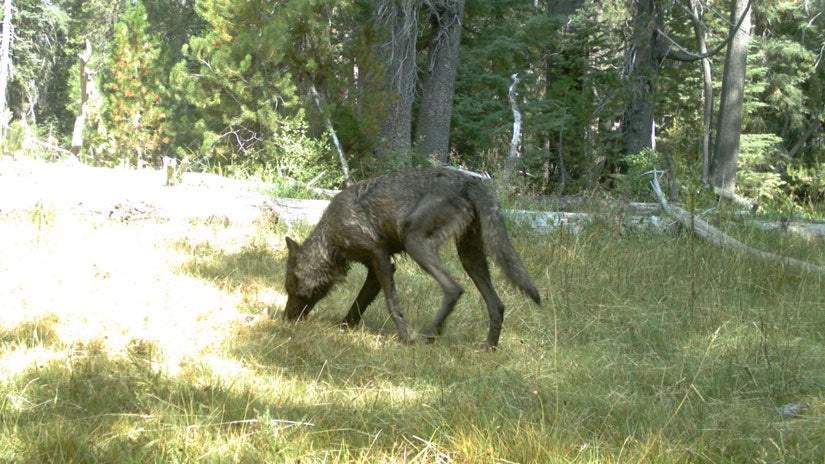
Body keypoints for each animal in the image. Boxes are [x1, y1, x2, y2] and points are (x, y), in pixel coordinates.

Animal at [282, 168, 541, 349]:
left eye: (290, 288)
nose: (285, 319)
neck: (330, 238)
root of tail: (470, 181)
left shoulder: (379, 257)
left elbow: (391, 303)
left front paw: (406, 337)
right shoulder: (377, 269)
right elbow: (358, 304)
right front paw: (345, 328)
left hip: (415, 242)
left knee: (454, 289)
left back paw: (431, 334)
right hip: (470, 258)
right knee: (497, 305)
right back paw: (488, 349)